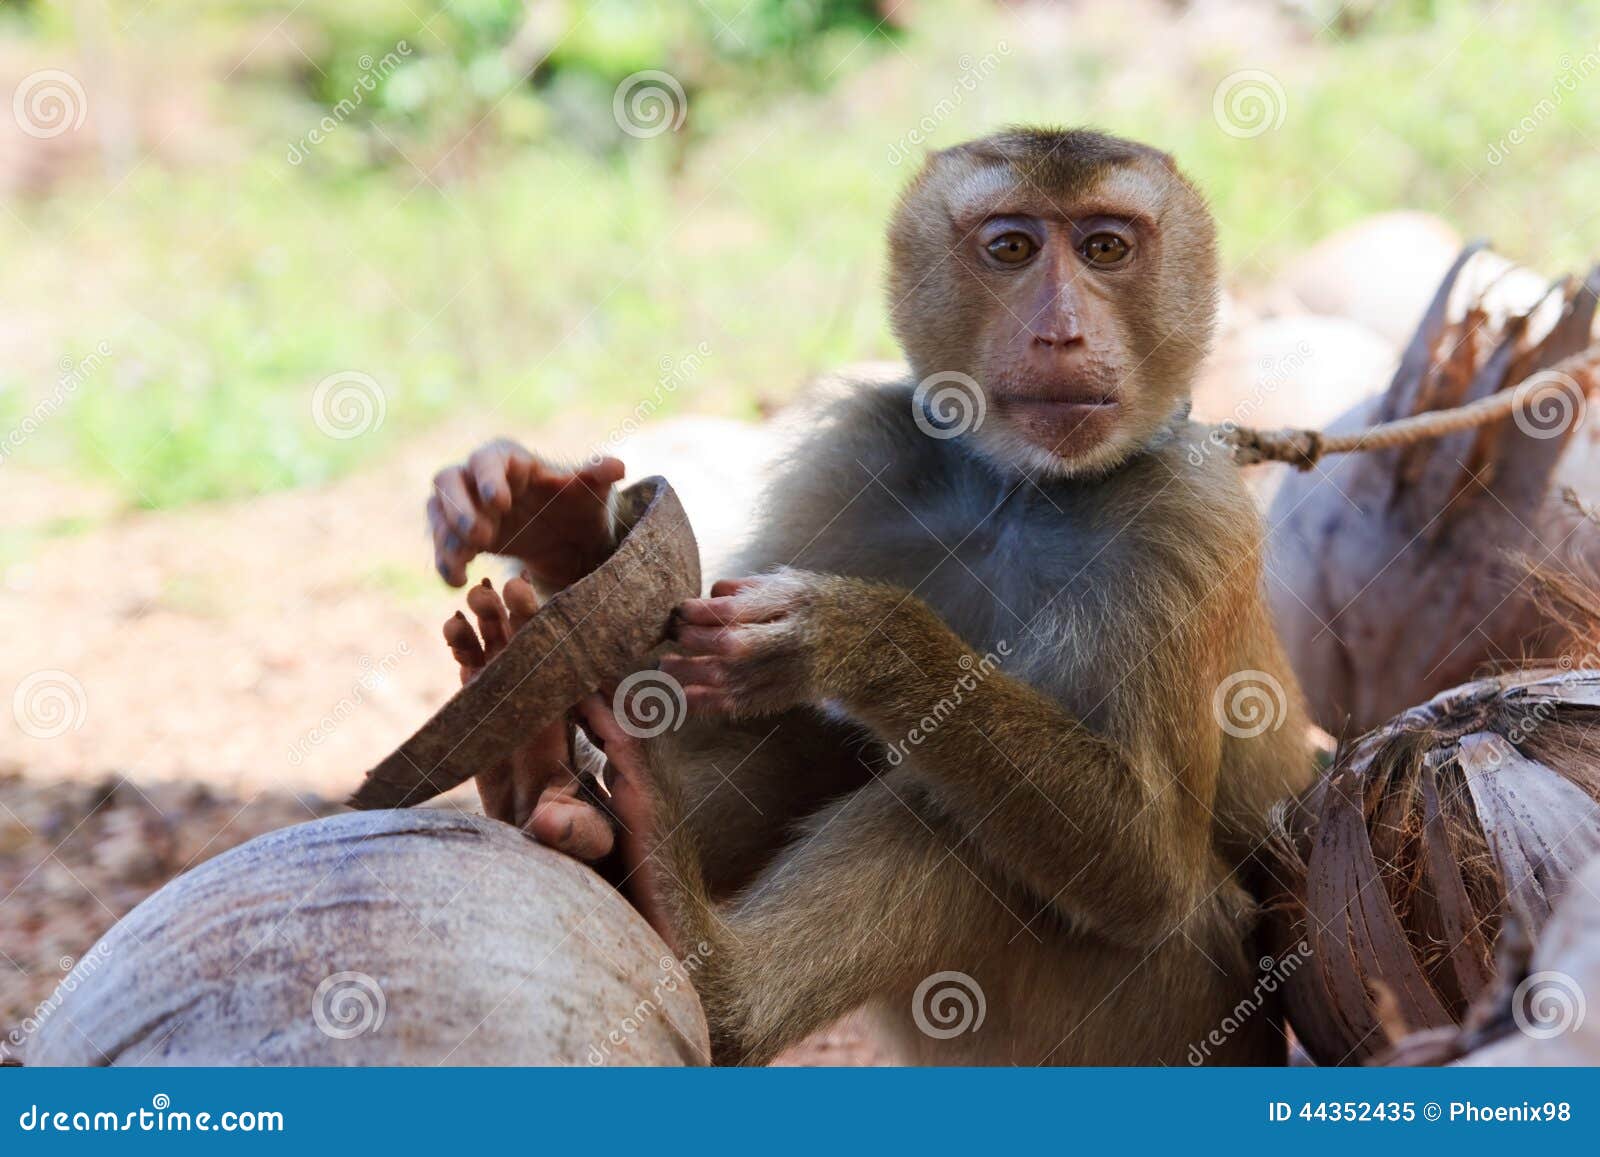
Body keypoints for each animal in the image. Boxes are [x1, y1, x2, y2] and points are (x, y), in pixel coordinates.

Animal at [428, 127, 1314, 1066]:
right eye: (1012, 248)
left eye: (1106, 248)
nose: (1062, 335)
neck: (1019, 489)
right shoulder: (861, 455)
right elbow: (674, 689)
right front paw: (555, 528)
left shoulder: (1191, 516)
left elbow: (1151, 868)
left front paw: (856, 638)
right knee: (818, 745)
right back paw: (550, 798)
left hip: (1168, 1022)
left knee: (956, 814)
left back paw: (716, 973)